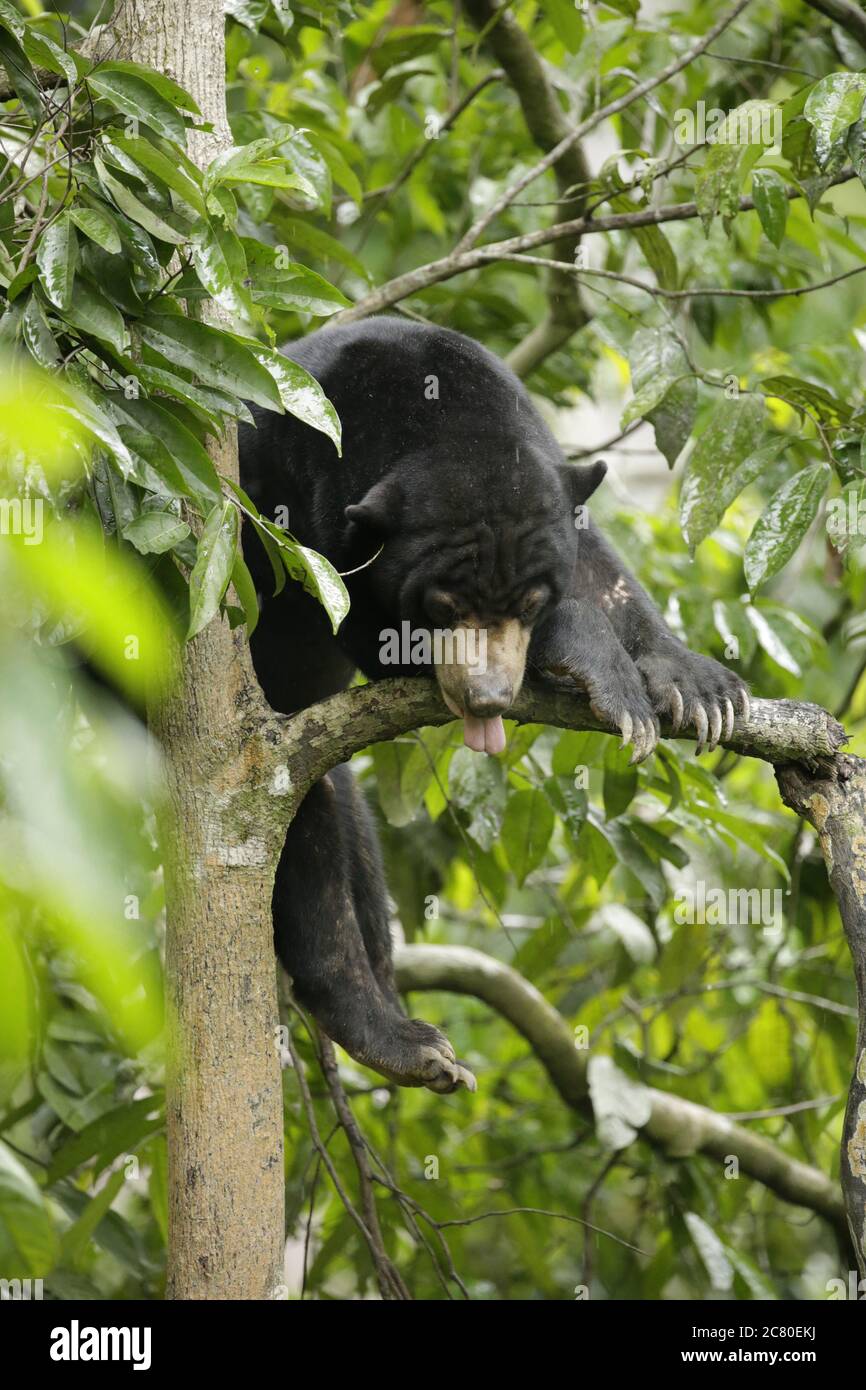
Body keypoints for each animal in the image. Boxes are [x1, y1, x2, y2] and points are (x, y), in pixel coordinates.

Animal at [238, 316, 750, 1094]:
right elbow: (365, 625)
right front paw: (595, 662)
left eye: (529, 602)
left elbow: (597, 560)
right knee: (300, 824)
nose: (487, 697)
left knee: (344, 821)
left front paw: (696, 685)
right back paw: (395, 1035)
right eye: (444, 605)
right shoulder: (306, 498)